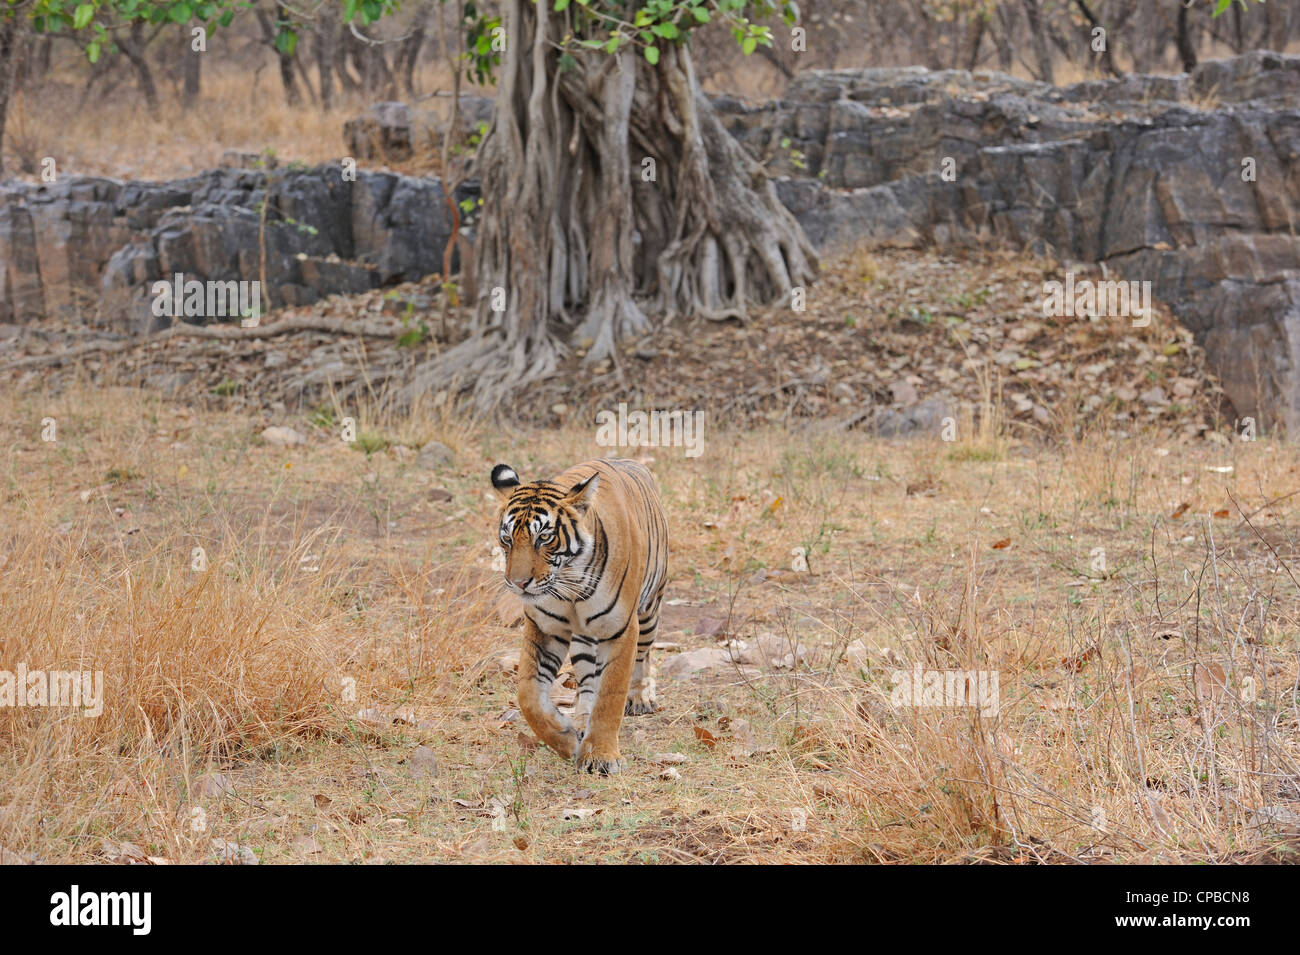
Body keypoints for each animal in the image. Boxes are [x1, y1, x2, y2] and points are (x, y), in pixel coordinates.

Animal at [491, 458, 669, 775]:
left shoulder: (621, 629)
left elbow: (611, 694)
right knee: (587, 681)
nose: (518, 583)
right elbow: (528, 694)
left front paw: (602, 756)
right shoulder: (544, 628)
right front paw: (566, 739)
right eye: (507, 538)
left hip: (649, 610)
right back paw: (582, 720)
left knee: (643, 657)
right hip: (585, 639)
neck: (570, 583)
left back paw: (639, 697)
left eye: (544, 538)